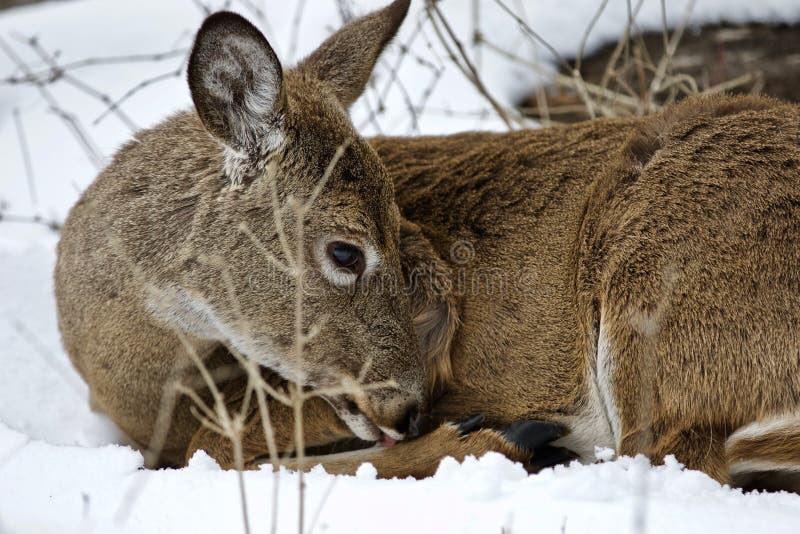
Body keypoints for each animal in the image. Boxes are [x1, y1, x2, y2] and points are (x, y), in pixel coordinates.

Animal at [55, 0, 800, 492]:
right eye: (346, 251)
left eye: (400, 234)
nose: (410, 407)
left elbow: (212, 443)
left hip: (660, 293)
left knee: (670, 459)